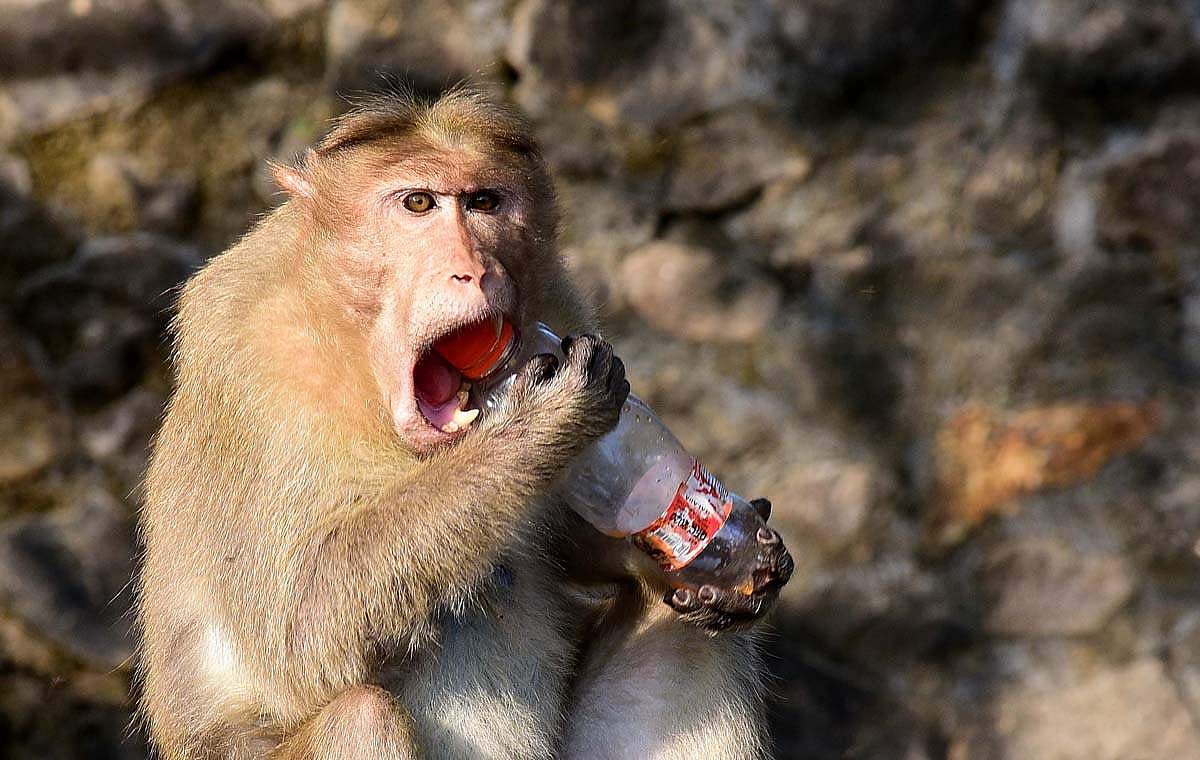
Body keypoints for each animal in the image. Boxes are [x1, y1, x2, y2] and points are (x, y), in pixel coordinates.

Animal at [135, 86, 793, 760]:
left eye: (484, 203)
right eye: (418, 204)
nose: (474, 270)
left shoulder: (558, 296)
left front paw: (701, 564)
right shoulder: (253, 359)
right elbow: (299, 629)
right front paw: (548, 417)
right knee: (362, 716)